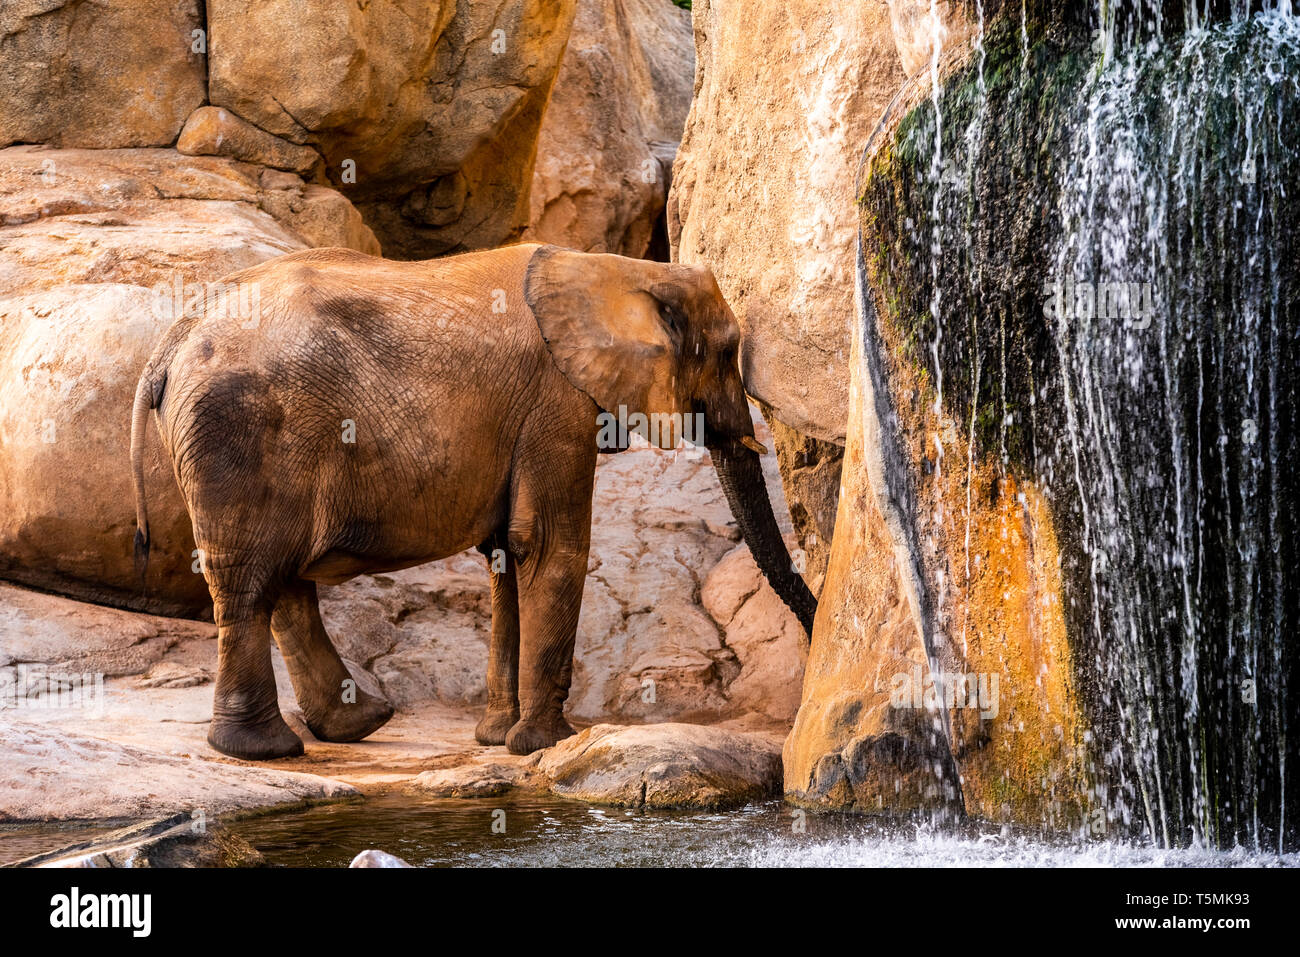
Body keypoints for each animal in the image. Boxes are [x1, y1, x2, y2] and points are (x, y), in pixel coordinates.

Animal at [129, 242, 817, 760]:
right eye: (724, 352)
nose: (811, 646)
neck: (613, 268)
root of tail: (172, 340)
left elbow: (508, 554)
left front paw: (497, 739)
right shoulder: (554, 403)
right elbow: (550, 547)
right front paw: (547, 743)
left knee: (279, 583)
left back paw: (356, 726)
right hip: (238, 433)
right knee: (253, 585)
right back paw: (266, 751)